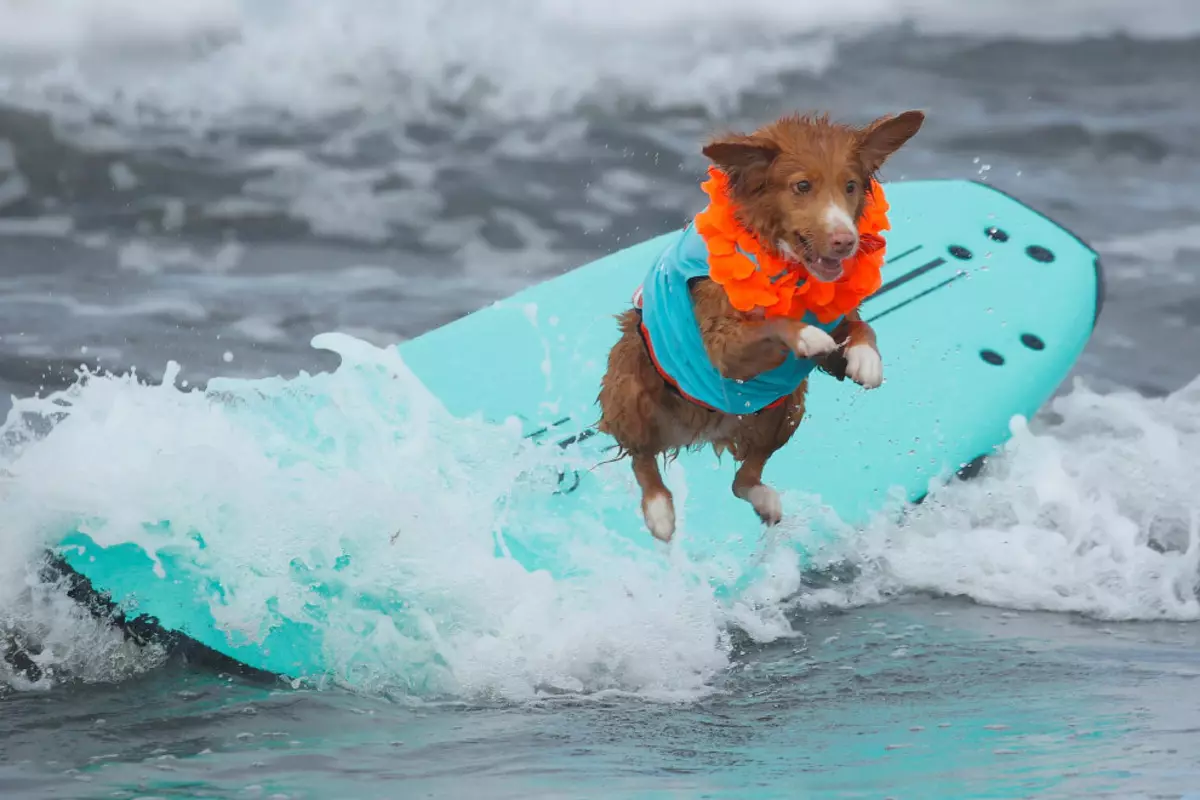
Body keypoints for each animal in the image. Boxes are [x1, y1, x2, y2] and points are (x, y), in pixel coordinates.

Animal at [600, 109, 926, 542]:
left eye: (850, 186)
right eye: (802, 186)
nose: (846, 241)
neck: (785, 261)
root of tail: (701, 431)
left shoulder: (836, 324)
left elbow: (861, 329)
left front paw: (866, 359)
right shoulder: (719, 347)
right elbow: (774, 322)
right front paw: (804, 335)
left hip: (785, 407)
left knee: (744, 476)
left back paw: (762, 498)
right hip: (631, 388)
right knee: (642, 457)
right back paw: (659, 510)